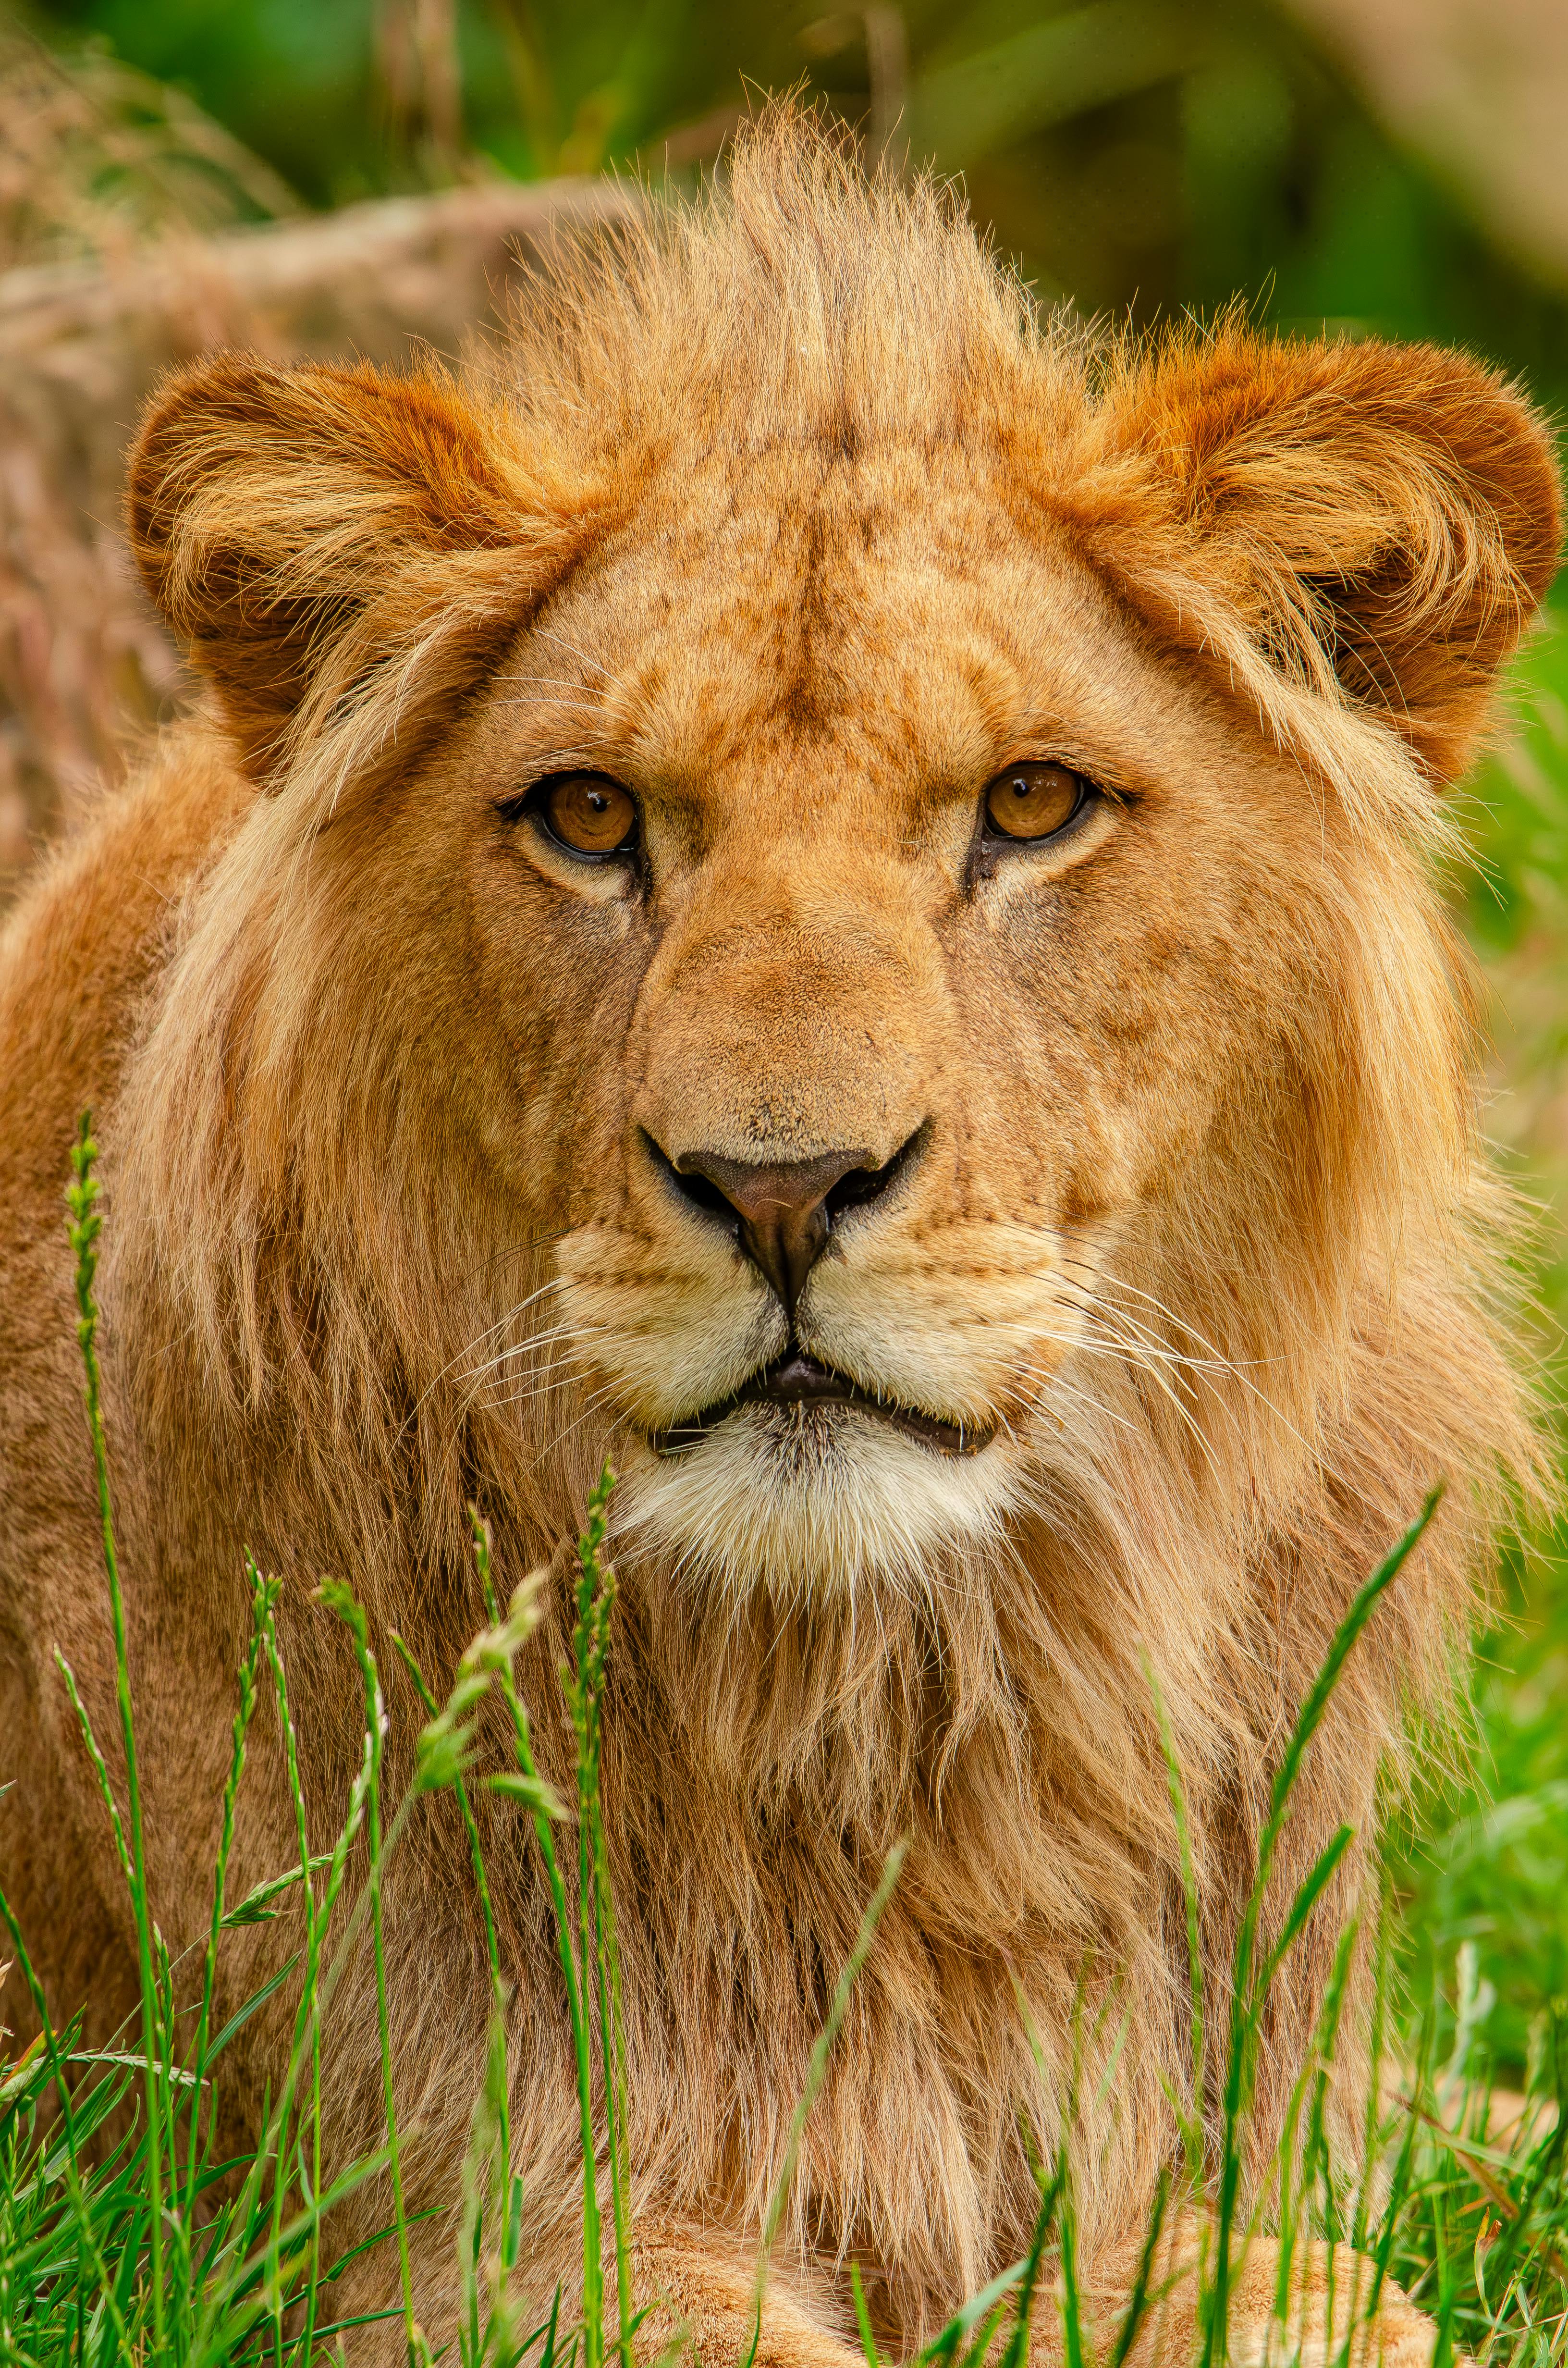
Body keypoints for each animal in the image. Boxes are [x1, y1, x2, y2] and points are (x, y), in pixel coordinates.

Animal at [0, 108, 1560, 2365]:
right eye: (586, 818)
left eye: (1029, 806)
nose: (778, 1190)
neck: (881, 1726)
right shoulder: (380, 2234)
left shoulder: (1233, 2152)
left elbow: (1331, 2284)